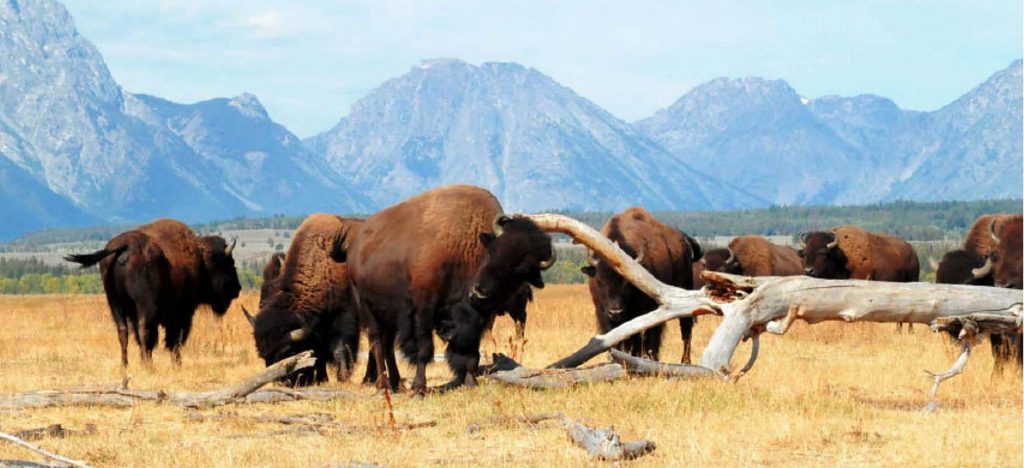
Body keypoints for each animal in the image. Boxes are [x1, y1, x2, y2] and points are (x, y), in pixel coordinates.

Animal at [65, 219, 241, 366]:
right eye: (229, 264)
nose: (237, 289)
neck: (201, 259)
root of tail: (125, 245)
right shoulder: (182, 314)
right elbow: (174, 339)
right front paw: (177, 363)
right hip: (144, 305)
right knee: (145, 330)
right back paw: (147, 366)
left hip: (115, 303)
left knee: (123, 331)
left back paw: (125, 366)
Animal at [246, 214, 364, 386]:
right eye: (263, 353)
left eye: (289, 350)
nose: (284, 382)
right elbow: (318, 355)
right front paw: (322, 379)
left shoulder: (345, 316)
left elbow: (340, 349)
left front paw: (342, 379)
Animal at [334, 185, 555, 394]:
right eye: (494, 252)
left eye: (521, 271)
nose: (480, 292)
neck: (467, 246)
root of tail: (355, 246)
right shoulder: (423, 308)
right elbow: (424, 349)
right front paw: (419, 388)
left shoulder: (477, 319)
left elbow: (471, 352)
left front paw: (470, 383)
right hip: (368, 307)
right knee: (377, 342)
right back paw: (383, 384)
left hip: (389, 313)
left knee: (387, 344)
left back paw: (396, 383)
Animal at [581, 207, 702, 363]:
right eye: (600, 281)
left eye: (628, 283)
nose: (615, 312)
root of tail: (684, 240)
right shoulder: (602, 313)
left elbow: (640, 339)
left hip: (684, 291)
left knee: (684, 329)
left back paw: (683, 361)